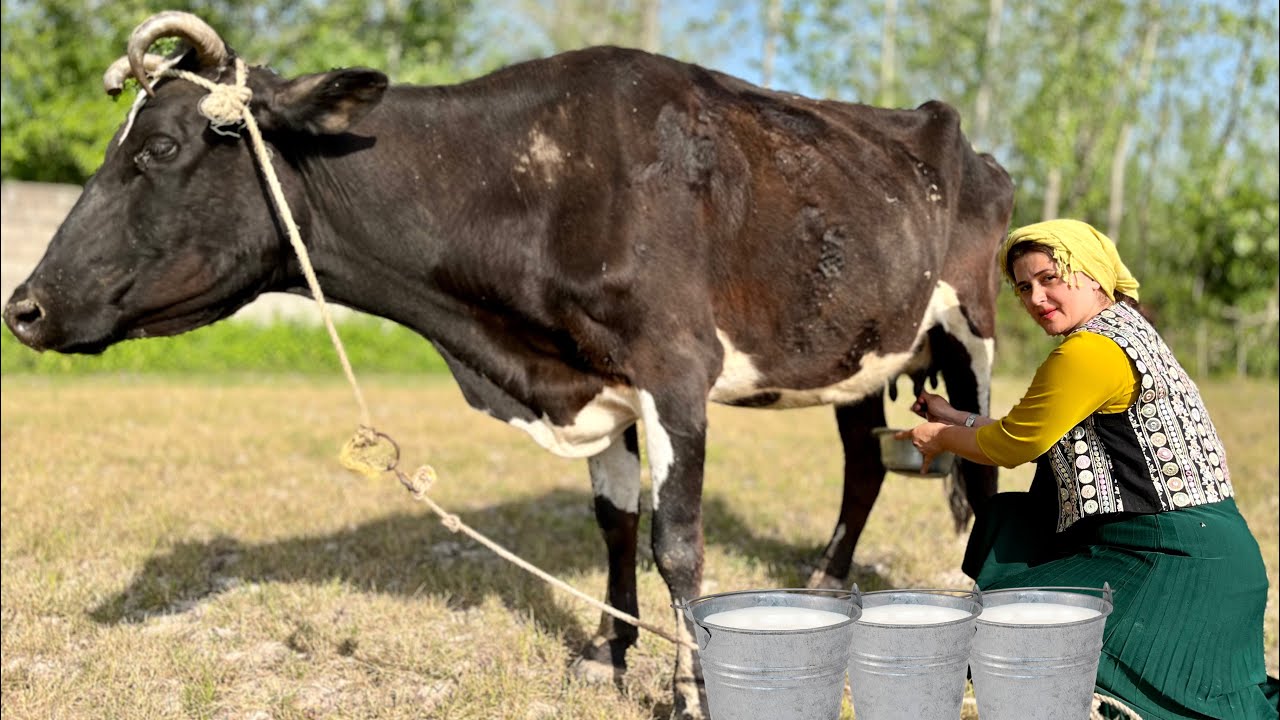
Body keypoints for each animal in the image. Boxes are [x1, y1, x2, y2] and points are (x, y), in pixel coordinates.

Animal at [2, 11, 1013, 718]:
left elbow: (677, 544)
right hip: (856, 350)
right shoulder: (595, 379)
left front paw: (693, 688)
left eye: (160, 147)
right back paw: (825, 586)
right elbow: (614, 522)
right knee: (862, 464)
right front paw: (605, 652)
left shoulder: (673, 370)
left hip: (973, 329)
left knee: (979, 463)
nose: (24, 307)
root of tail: (954, 135)